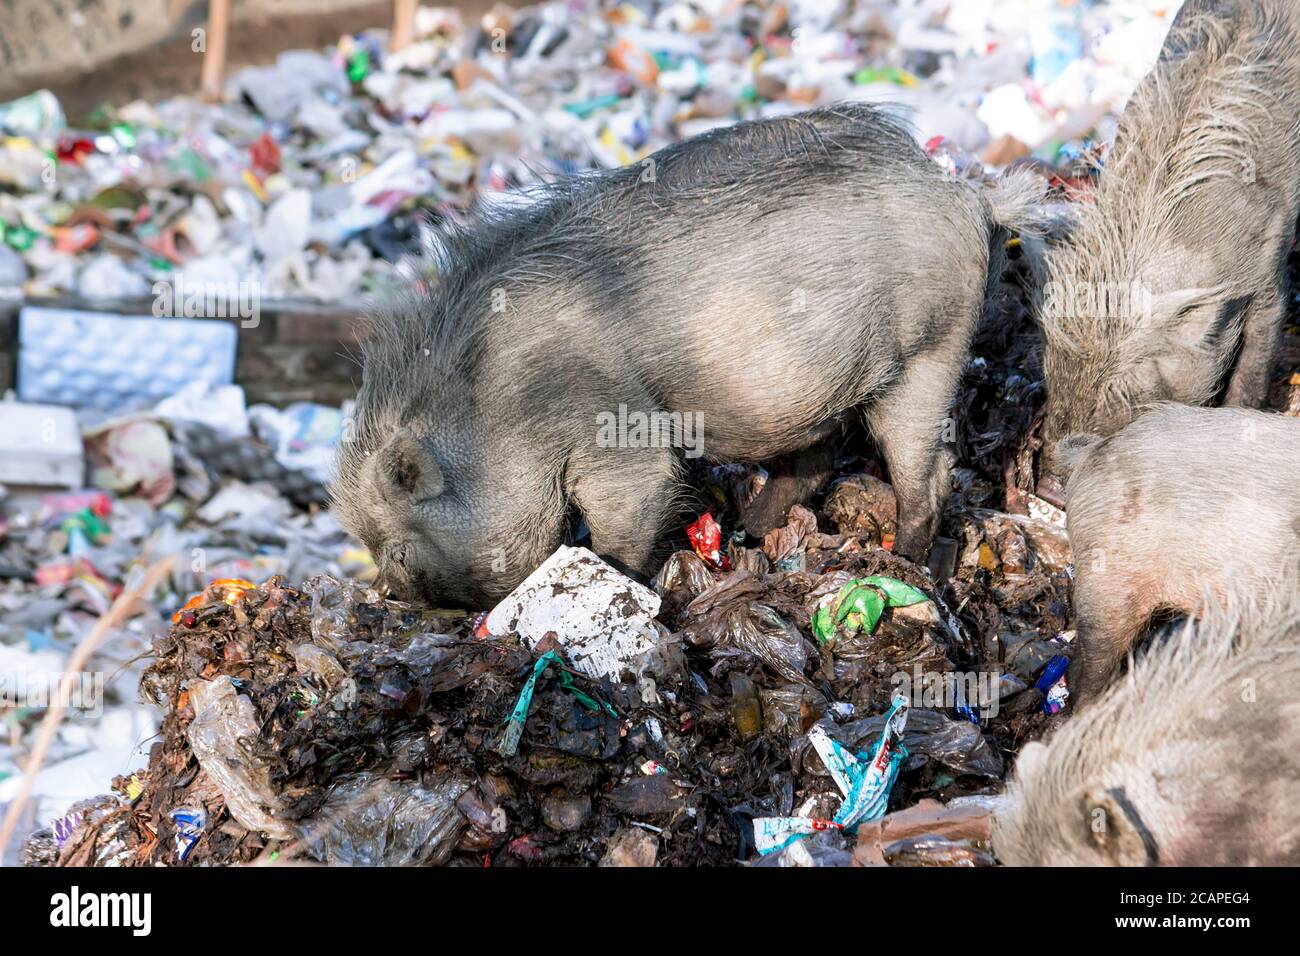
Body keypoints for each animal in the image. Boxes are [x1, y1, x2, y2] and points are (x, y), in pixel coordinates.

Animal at [331, 104, 1046, 608]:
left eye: (398, 548)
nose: (391, 596)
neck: (494, 408)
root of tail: (971, 196)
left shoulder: (617, 432)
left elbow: (634, 506)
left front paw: (619, 581)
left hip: (930, 352)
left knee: (929, 471)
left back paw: (908, 566)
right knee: (815, 459)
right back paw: (749, 532)